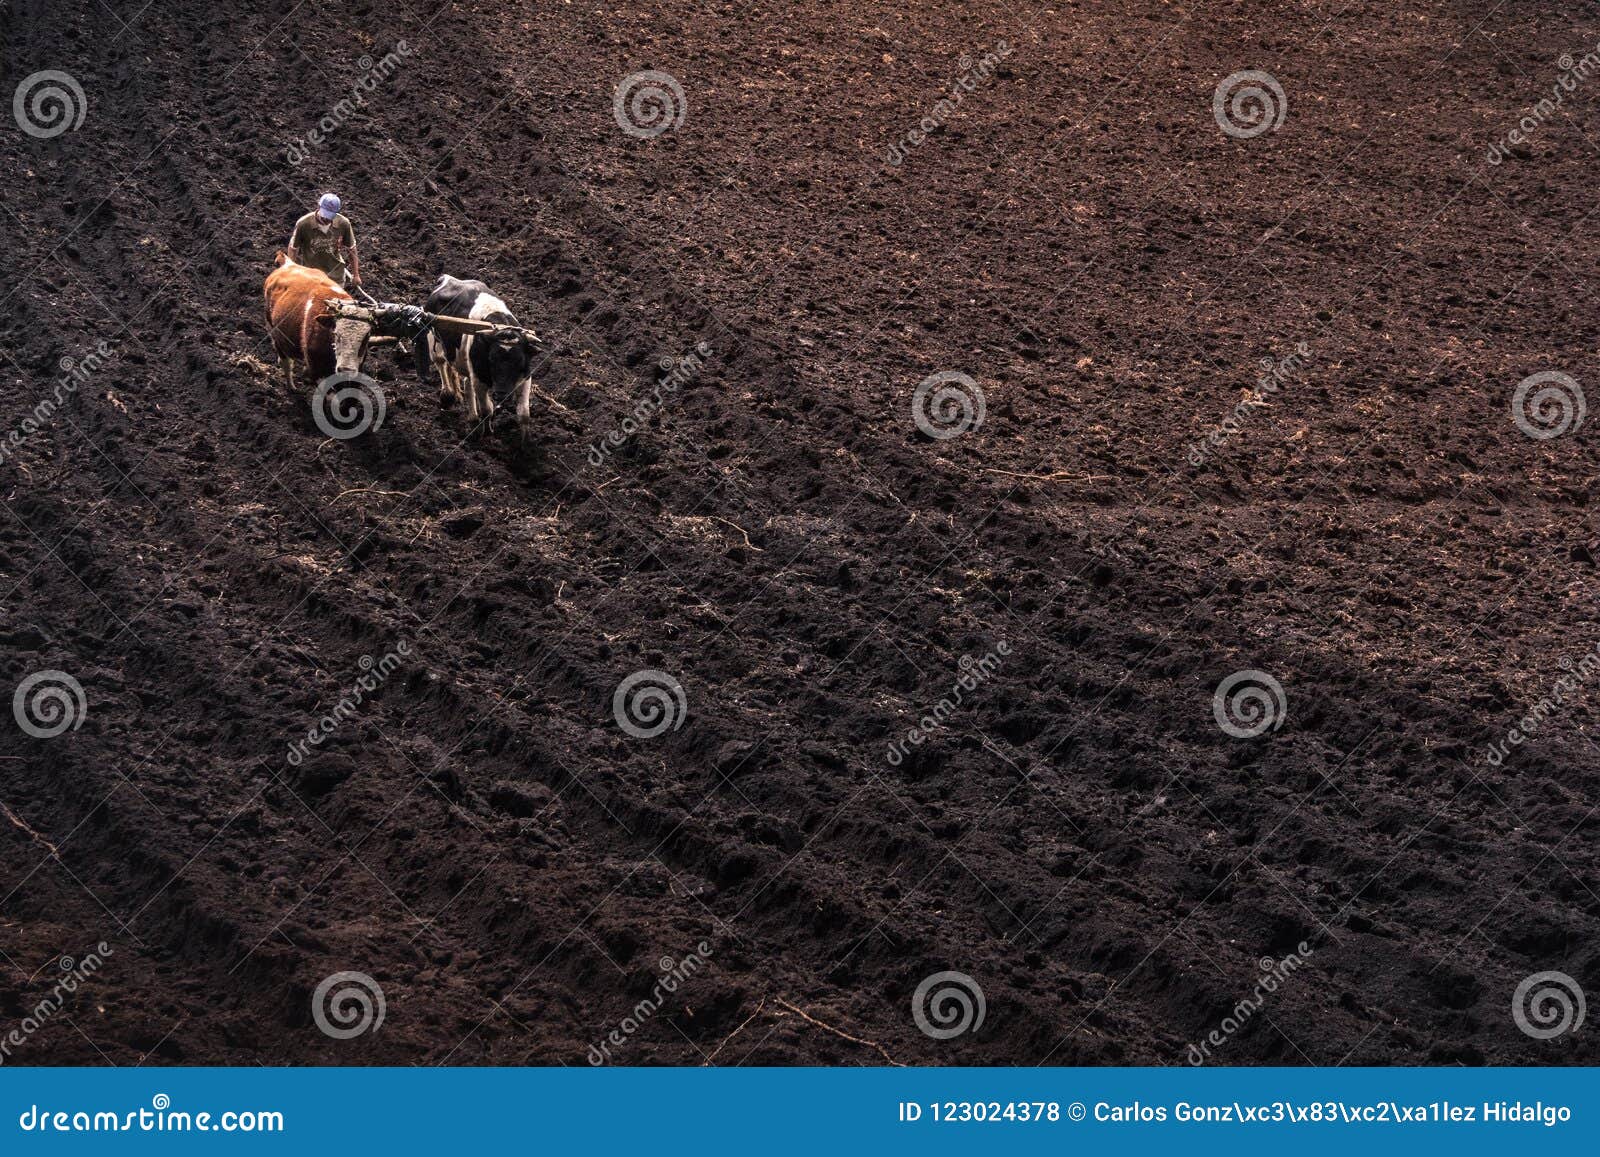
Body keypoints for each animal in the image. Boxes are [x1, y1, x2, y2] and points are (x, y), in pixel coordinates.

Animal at [263, 252, 373, 392]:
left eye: (366, 337)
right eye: (337, 334)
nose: (346, 369)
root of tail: (288, 264)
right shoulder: (316, 371)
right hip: (275, 333)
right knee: (286, 362)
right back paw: (291, 386)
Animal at [414, 275, 538, 436]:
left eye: (520, 361)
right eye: (491, 359)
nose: (501, 394)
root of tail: (448, 279)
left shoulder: (525, 378)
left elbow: (524, 414)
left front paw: (525, 439)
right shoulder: (479, 379)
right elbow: (487, 409)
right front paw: (487, 431)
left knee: (463, 381)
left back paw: (469, 412)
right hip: (432, 336)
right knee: (441, 362)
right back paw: (448, 394)